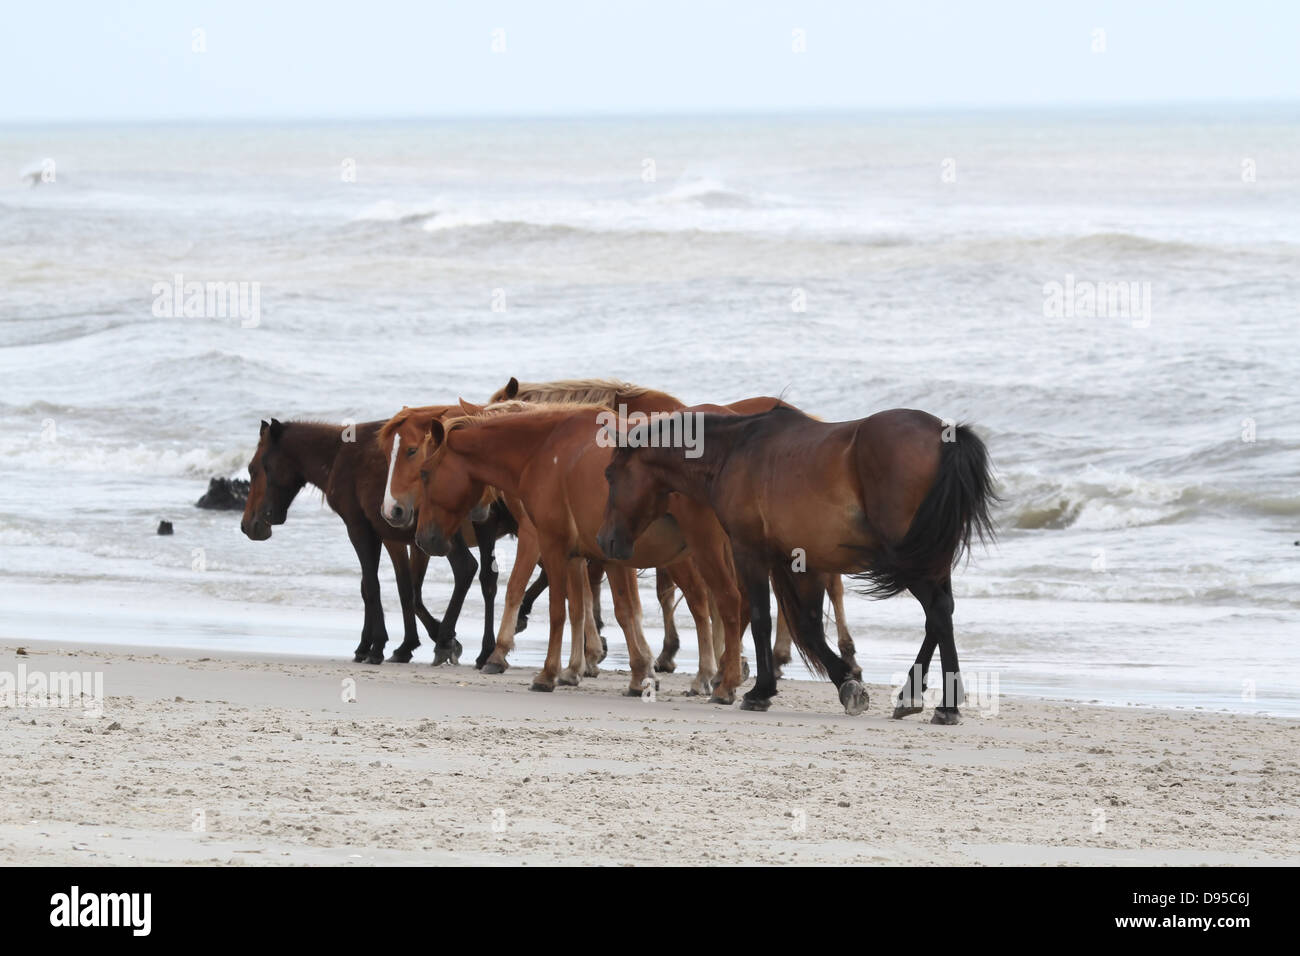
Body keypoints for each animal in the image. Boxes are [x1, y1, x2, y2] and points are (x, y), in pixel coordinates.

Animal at [239, 417, 505, 665]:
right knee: (486, 578)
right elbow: (390, 589)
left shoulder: (360, 530)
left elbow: (372, 585)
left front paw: (376, 646)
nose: (247, 525)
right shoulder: (386, 536)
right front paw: (379, 645)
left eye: (253, 469)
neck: (337, 456)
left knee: (465, 568)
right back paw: (478, 648)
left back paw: (446, 641)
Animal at [410, 402, 748, 700]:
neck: (544, 450)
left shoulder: (551, 544)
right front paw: (620, 673)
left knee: (723, 602)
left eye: (425, 473)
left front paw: (546, 673)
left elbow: (557, 610)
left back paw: (719, 682)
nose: (423, 539)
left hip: (703, 549)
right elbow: (590, 610)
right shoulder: (583, 555)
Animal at [598, 405, 996, 724]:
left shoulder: (752, 553)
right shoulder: (799, 562)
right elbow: (809, 626)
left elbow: (763, 619)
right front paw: (846, 682)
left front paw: (761, 691)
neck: (735, 451)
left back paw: (946, 706)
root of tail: (945, 436)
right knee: (938, 616)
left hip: (915, 561)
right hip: (931, 559)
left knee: (938, 612)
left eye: (610, 475)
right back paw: (912, 696)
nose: (606, 541)